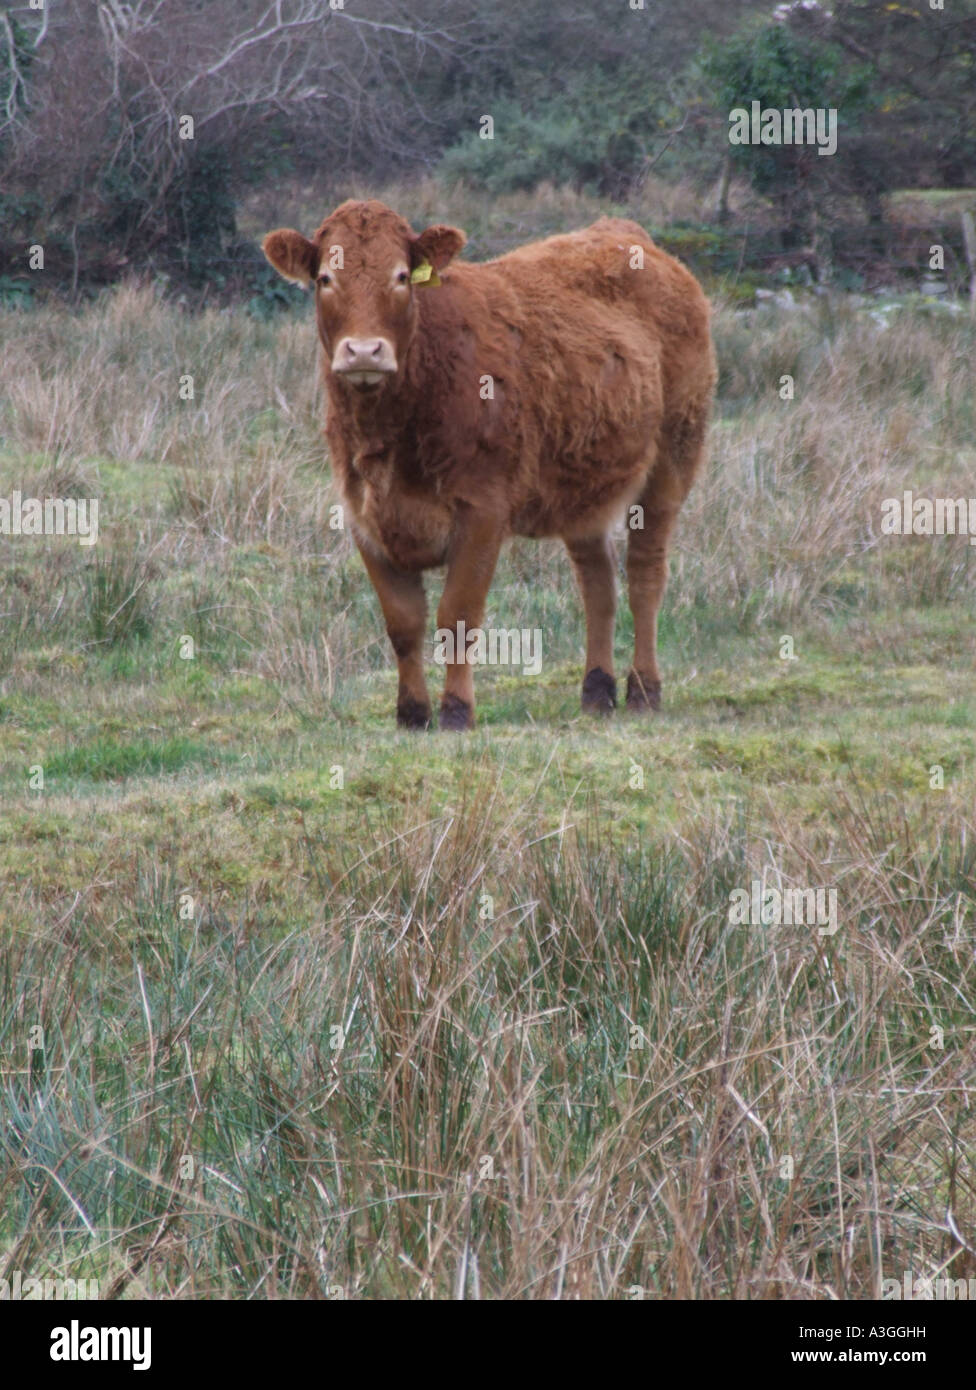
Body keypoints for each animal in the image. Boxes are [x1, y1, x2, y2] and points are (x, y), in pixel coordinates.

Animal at [263, 199, 716, 730]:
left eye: (401, 276)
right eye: (325, 279)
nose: (363, 351)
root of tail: (626, 232)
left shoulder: (482, 509)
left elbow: (456, 616)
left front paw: (457, 710)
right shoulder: (363, 517)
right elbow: (402, 622)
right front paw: (411, 713)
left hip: (673, 459)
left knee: (645, 574)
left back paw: (644, 688)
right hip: (583, 482)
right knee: (597, 583)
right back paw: (596, 689)